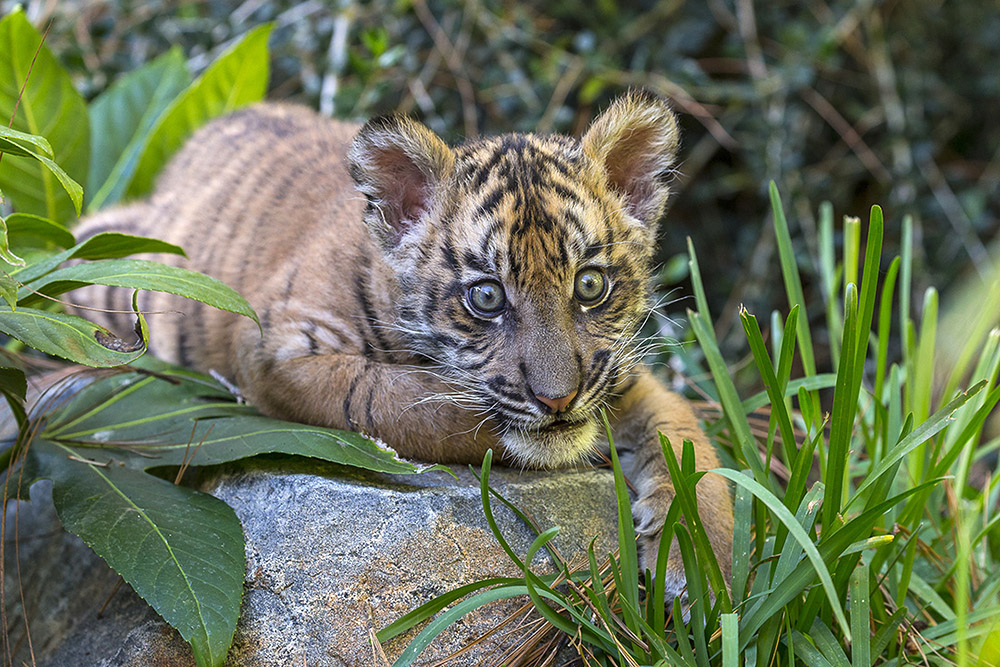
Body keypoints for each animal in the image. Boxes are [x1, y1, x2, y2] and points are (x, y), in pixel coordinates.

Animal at [73, 90, 734, 597]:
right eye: (486, 297)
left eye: (591, 286)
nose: (558, 400)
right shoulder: (276, 351)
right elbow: (407, 403)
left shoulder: (619, 373)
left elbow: (687, 440)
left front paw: (702, 562)